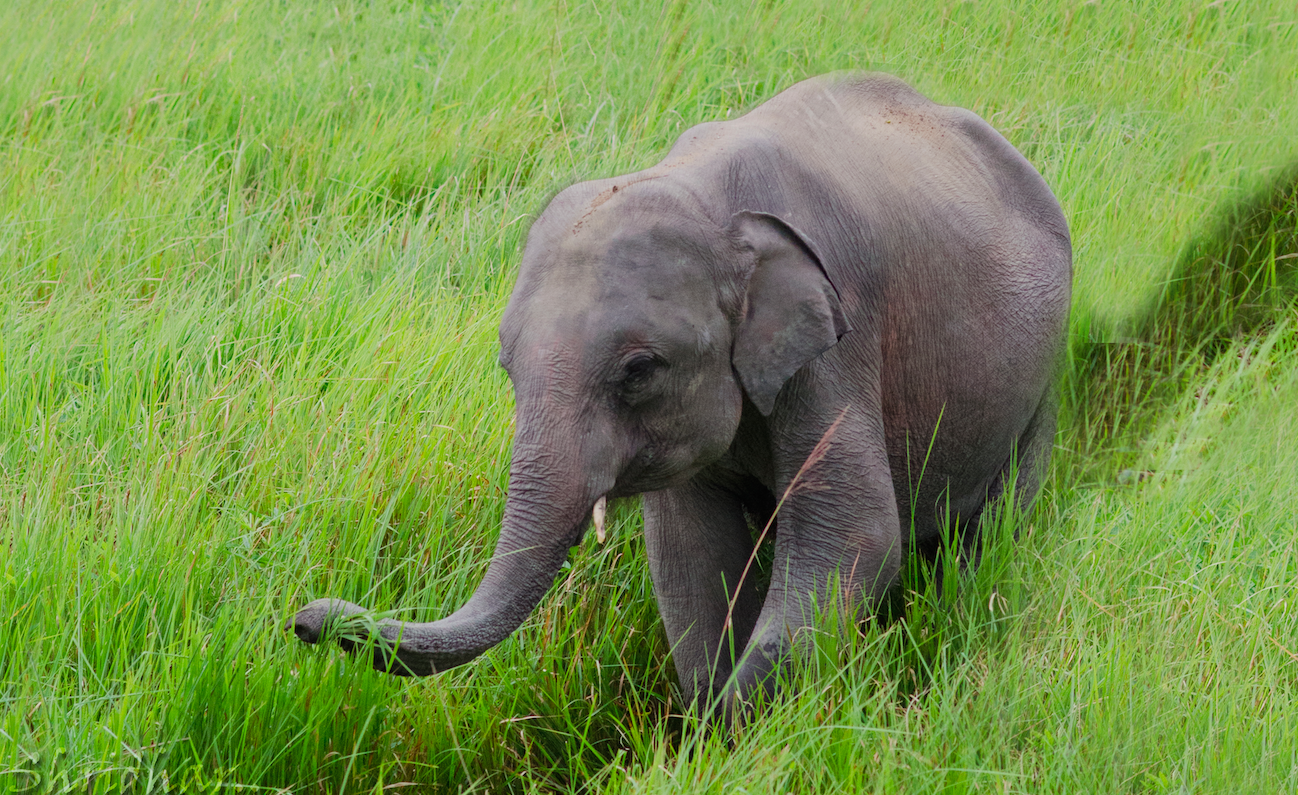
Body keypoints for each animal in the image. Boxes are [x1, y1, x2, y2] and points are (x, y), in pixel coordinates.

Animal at [288, 72, 1072, 716]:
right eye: (506, 366)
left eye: (639, 370)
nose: (303, 620)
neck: (704, 197)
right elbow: (691, 552)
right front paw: (706, 722)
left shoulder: (837, 341)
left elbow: (854, 529)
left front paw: (735, 721)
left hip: (1044, 373)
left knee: (995, 525)